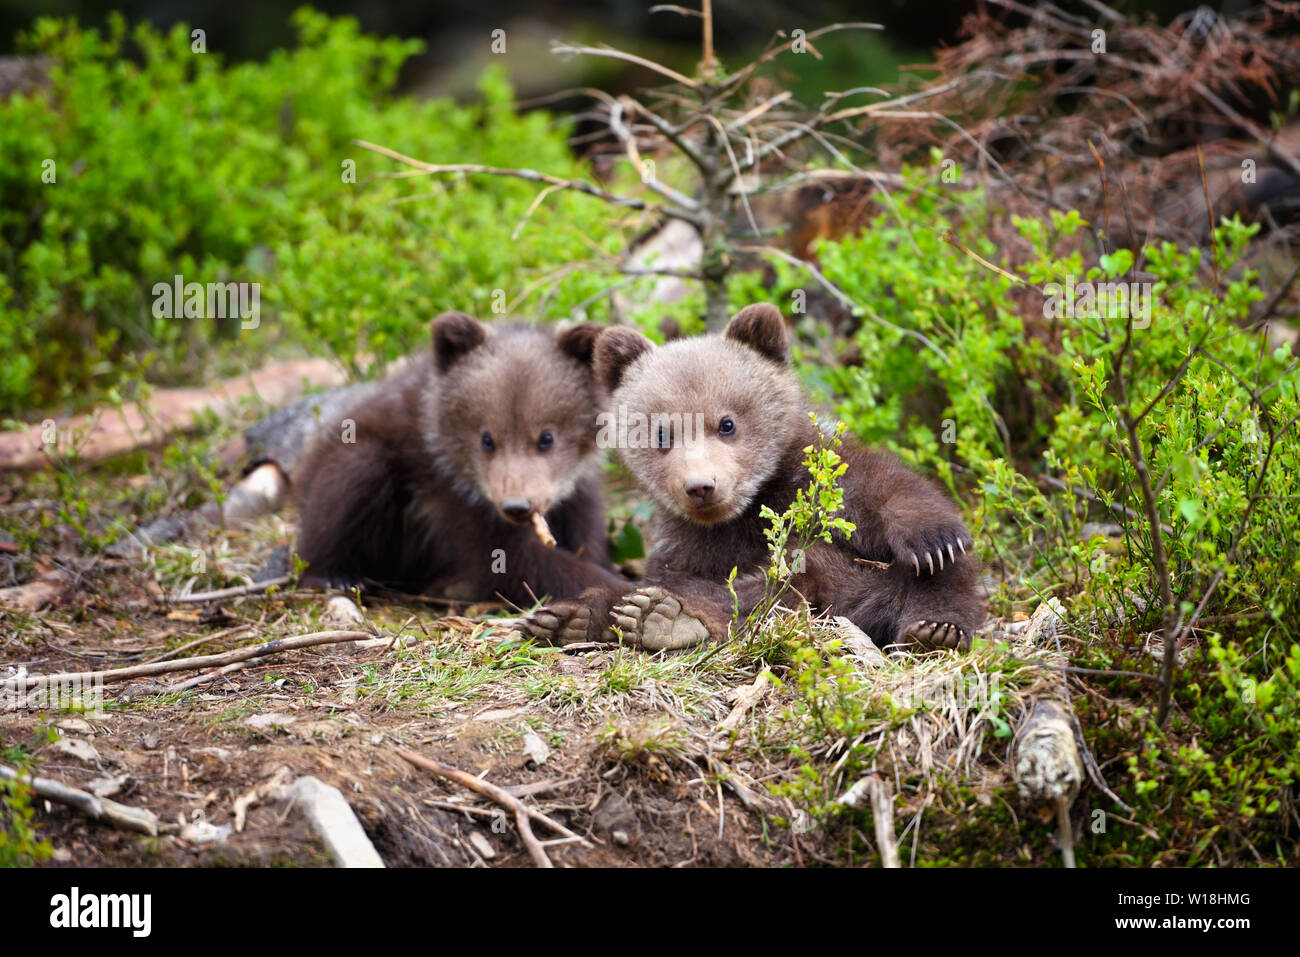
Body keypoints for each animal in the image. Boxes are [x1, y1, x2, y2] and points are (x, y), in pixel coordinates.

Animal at [294, 311, 626, 606]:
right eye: (487, 439)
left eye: (546, 437)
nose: (516, 506)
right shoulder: (456, 497)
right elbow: (515, 561)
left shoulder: (577, 490)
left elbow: (586, 537)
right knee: (351, 481)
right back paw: (337, 576)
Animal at [517, 302, 984, 652]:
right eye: (662, 432)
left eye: (727, 423)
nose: (701, 487)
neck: (743, 513)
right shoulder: (687, 544)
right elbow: (684, 578)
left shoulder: (819, 483)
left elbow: (886, 492)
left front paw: (933, 540)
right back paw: (584, 618)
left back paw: (934, 631)